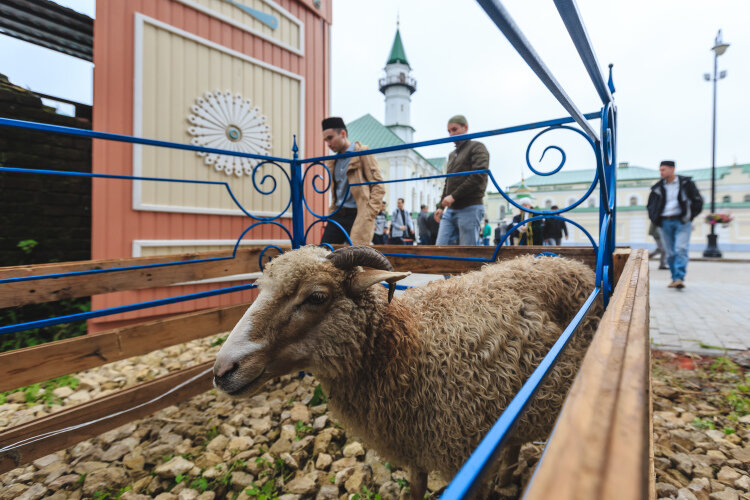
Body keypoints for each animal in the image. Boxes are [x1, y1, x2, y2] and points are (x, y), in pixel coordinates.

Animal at [212, 244, 604, 498]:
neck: (402, 347)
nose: (222, 370)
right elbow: (415, 489)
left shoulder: (465, 453)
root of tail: (576, 265)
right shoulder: (414, 442)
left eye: (317, 297)